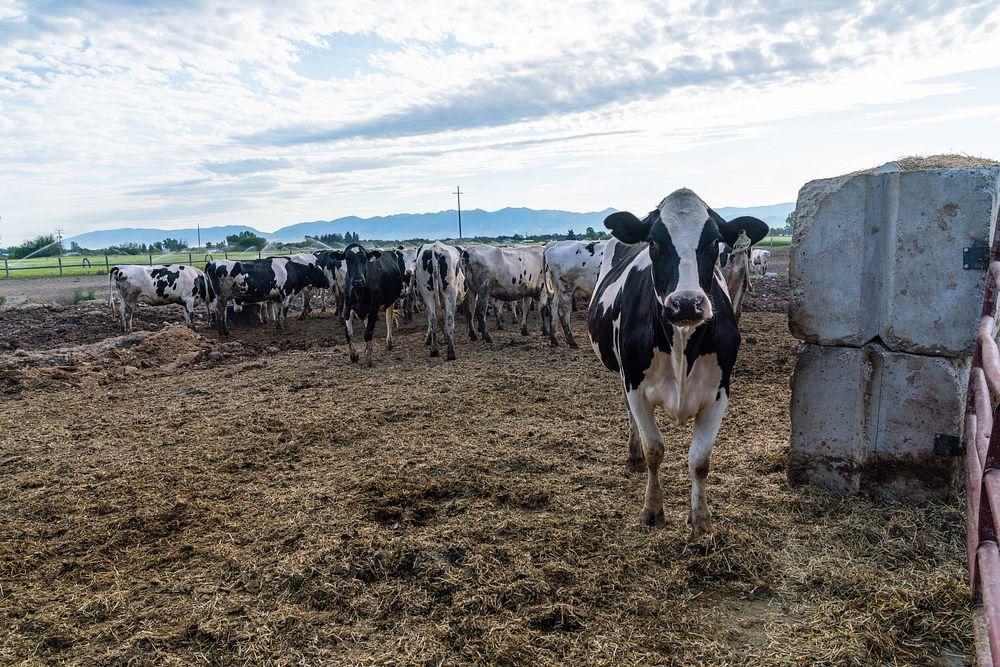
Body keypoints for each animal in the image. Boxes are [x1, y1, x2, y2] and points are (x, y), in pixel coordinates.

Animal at [588, 188, 767, 536]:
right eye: (655, 242)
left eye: (714, 242)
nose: (686, 303)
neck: (682, 346)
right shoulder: (636, 386)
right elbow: (654, 448)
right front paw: (652, 511)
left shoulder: (719, 393)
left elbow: (699, 460)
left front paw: (701, 520)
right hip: (622, 374)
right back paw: (633, 456)